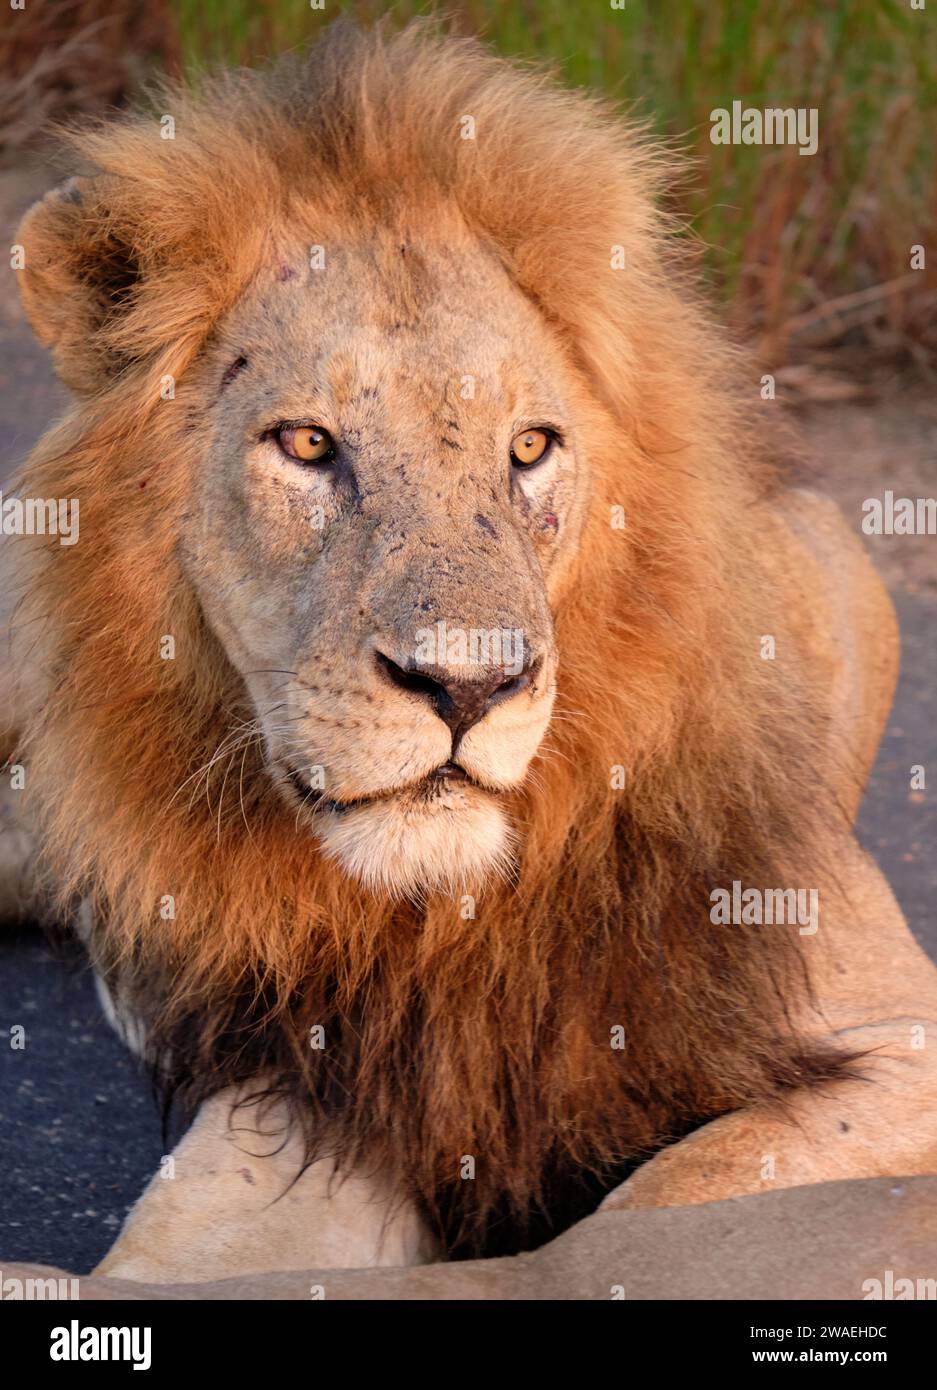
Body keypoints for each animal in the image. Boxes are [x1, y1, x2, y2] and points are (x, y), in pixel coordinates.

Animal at [3, 21, 937, 1284]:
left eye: (530, 447)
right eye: (308, 443)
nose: (468, 685)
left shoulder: (892, 1041)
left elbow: (651, 1213)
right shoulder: (323, 1082)